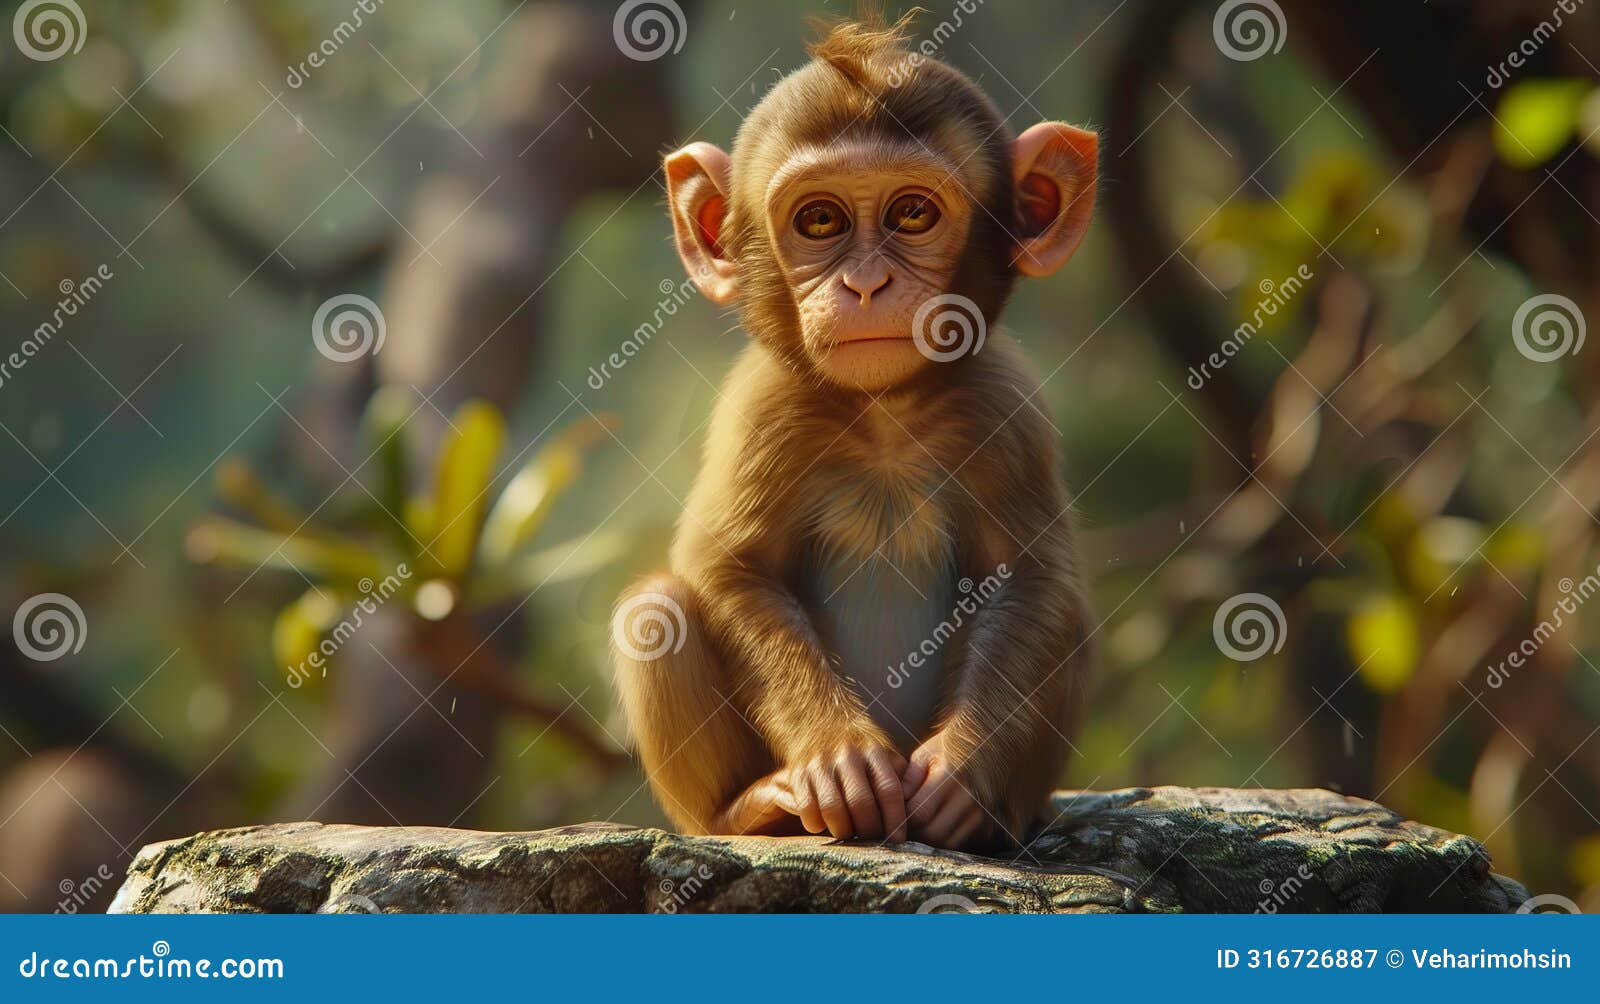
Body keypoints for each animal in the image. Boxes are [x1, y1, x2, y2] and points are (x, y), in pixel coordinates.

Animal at [610, 14, 1098, 852]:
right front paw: (837, 758)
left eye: (912, 214)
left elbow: (1029, 574)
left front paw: (960, 774)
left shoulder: (1006, 403)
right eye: (820, 220)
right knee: (656, 605)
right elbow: (728, 568)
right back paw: (752, 809)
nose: (866, 284)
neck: (884, 416)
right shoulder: (761, 408)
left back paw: (997, 820)